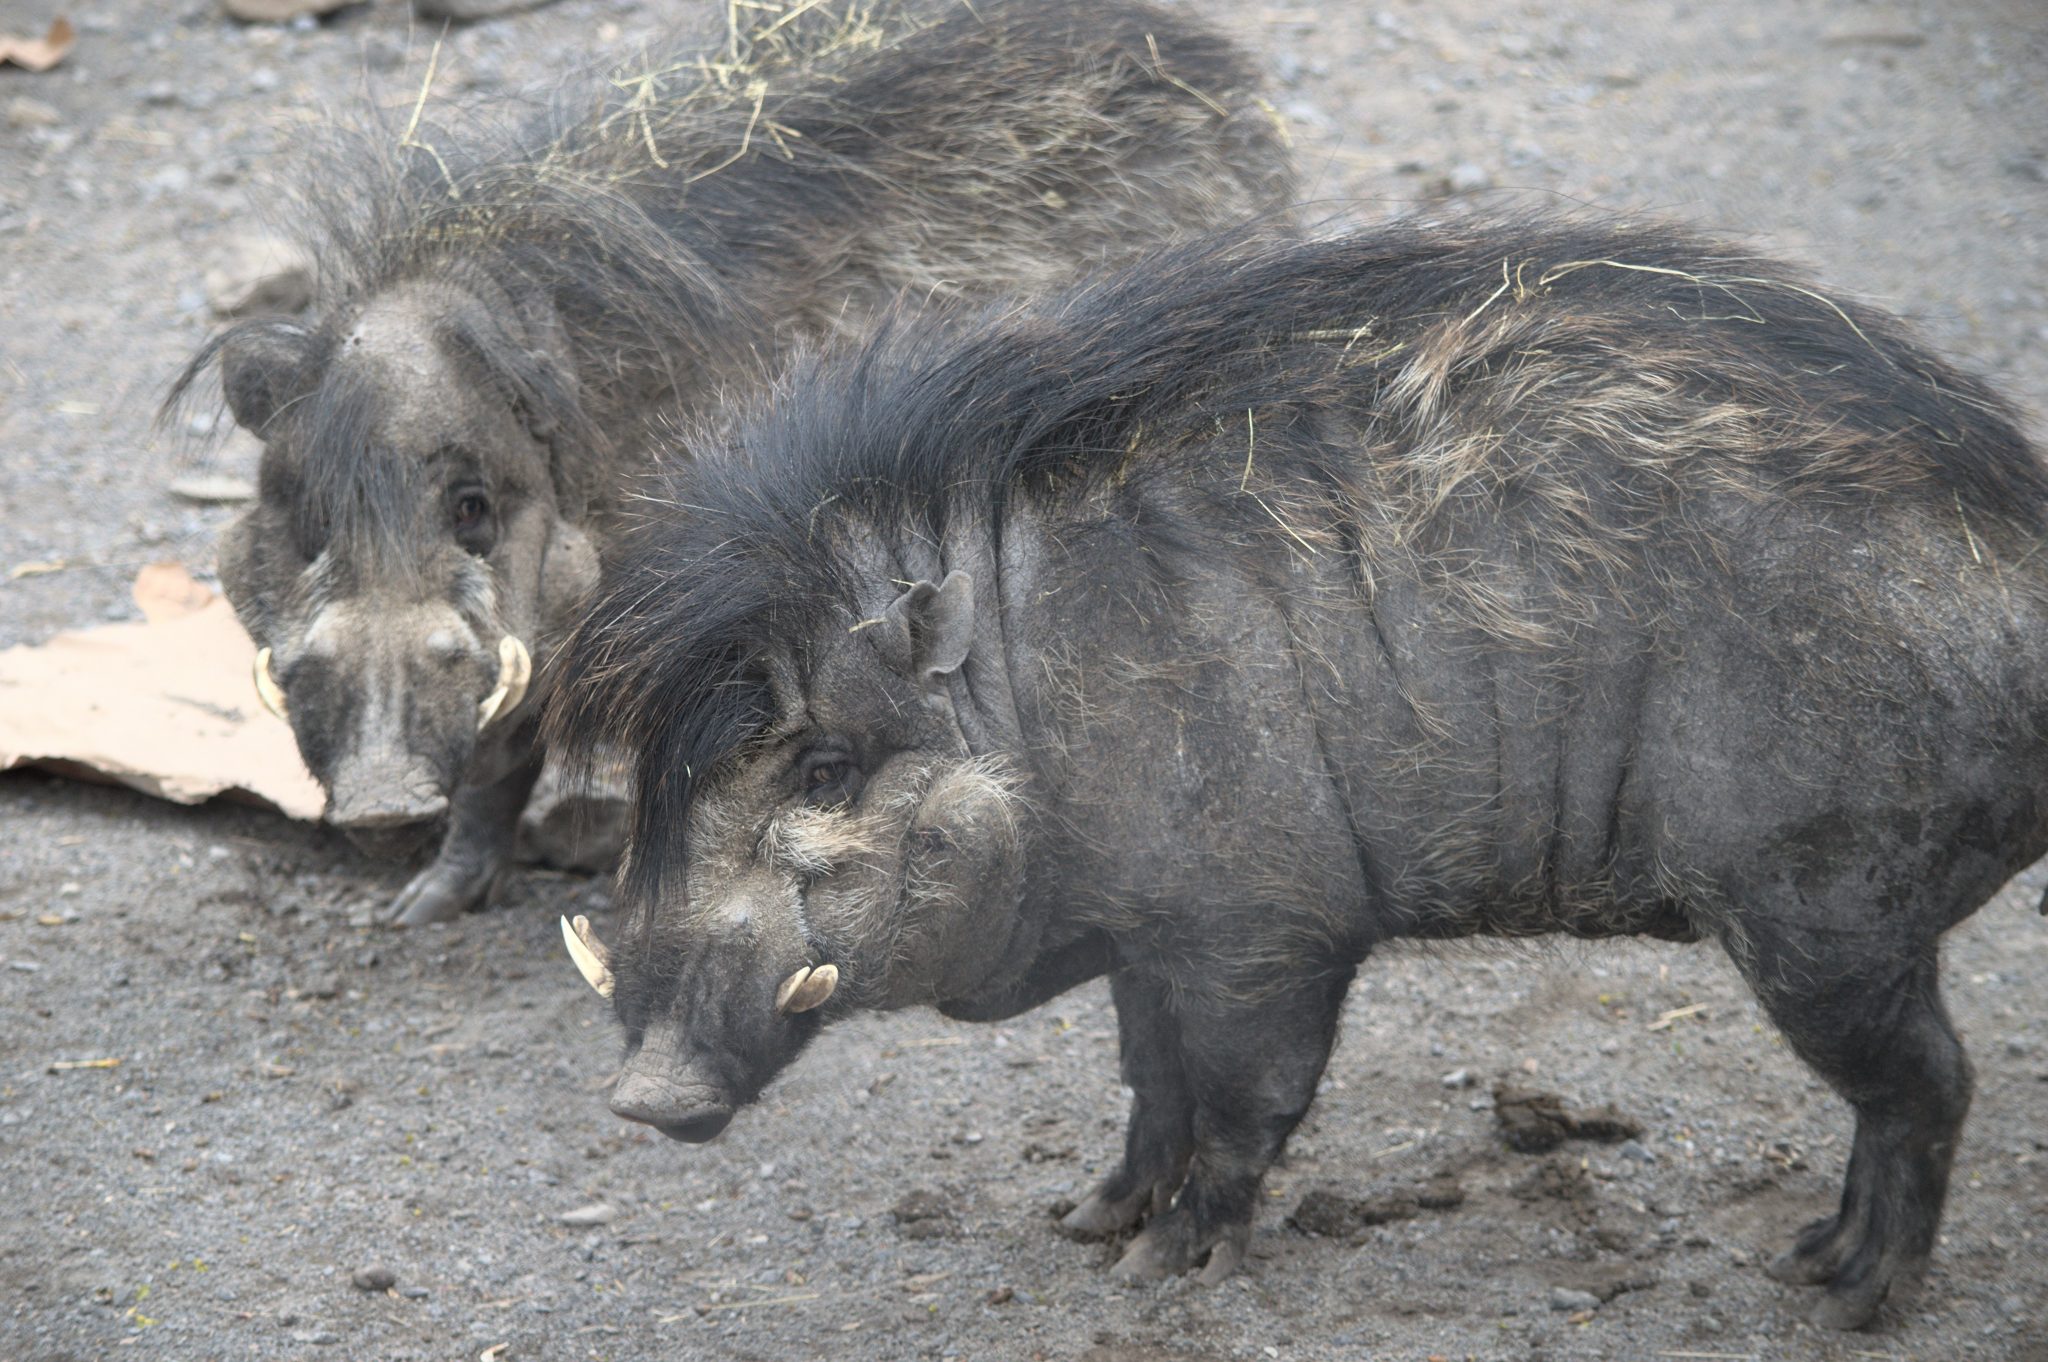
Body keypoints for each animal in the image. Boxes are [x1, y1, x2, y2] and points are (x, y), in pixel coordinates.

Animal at [165, 0, 1294, 923]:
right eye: (305, 517)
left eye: (473, 506)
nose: (378, 801)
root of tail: (1240, 93)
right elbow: (495, 766)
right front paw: (423, 908)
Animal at [548, 218, 2048, 1331]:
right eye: (667, 788)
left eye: (825, 761)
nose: (642, 1096)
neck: (1032, 683)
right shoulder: (1153, 934)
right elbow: (1145, 1080)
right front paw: (1087, 1221)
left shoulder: (1268, 927)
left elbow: (1243, 1100)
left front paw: (1167, 1269)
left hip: (1822, 910)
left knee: (1927, 1084)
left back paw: (1837, 1289)